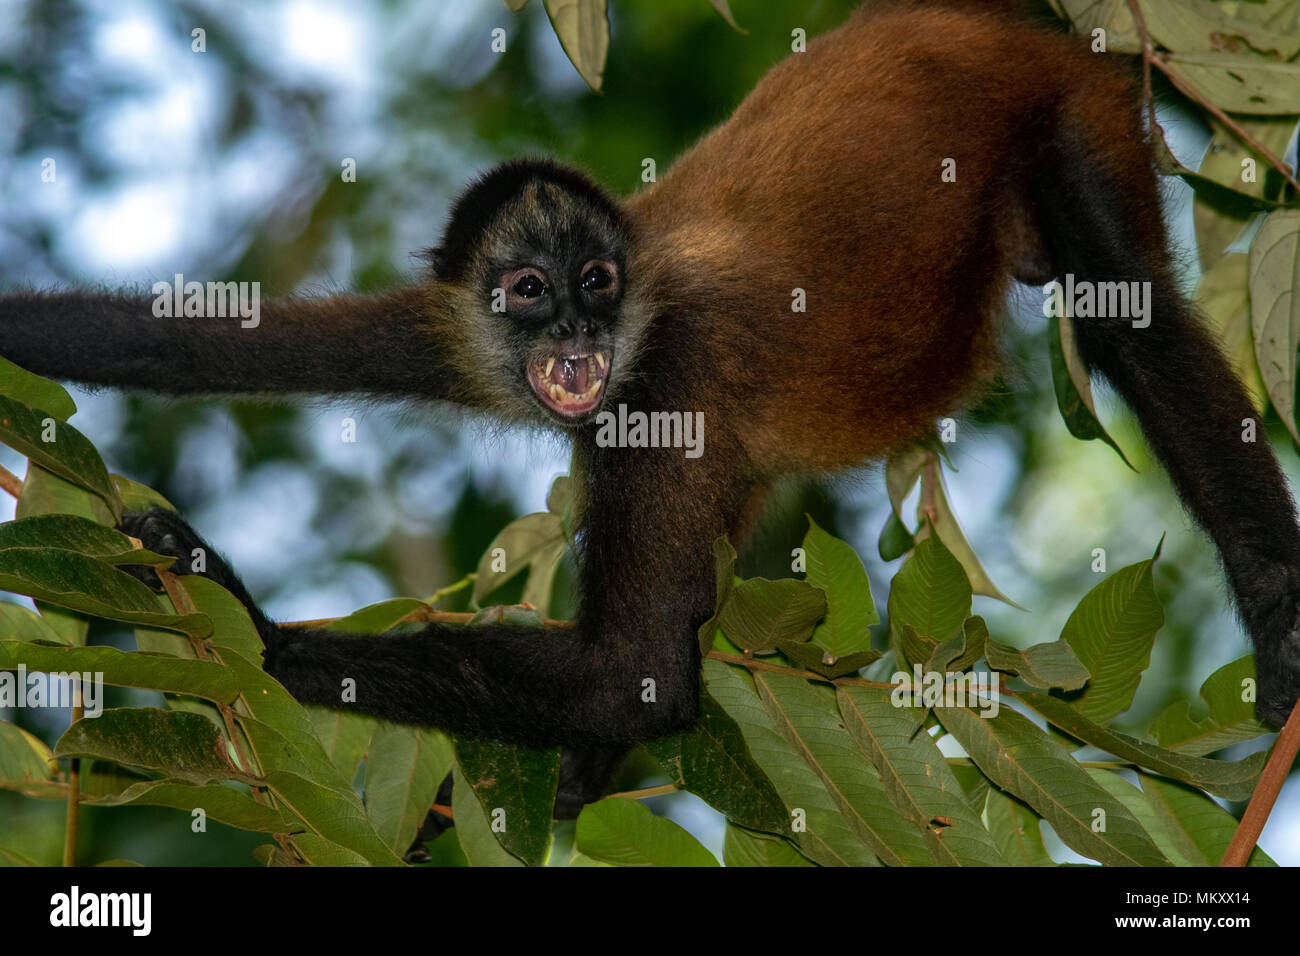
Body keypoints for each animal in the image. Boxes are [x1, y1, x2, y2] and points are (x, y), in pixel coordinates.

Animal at [2, 1, 1299, 833]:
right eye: (529, 289)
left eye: (596, 281)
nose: (578, 336)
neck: (643, 302)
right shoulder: (456, 330)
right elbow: (179, 340)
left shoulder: (663, 380)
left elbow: (634, 672)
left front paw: (246, 618)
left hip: (1072, 113)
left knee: (1130, 318)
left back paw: (1279, 618)